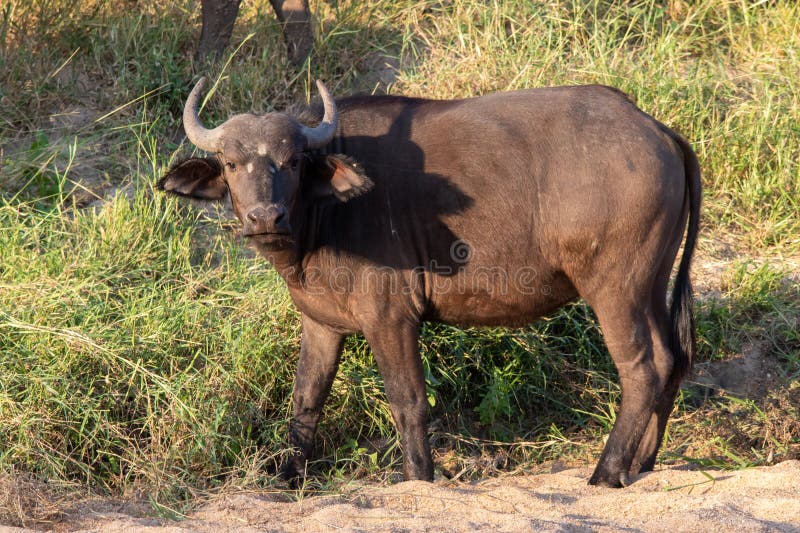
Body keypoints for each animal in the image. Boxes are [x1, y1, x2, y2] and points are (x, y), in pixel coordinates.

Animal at [157, 77, 701, 488]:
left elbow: (408, 401)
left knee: (643, 369)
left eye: (291, 161)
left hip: (615, 289)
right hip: (651, 284)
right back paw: (642, 467)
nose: (264, 217)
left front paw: (418, 476)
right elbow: (306, 400)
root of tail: (655, 129)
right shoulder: (322, 323)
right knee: (672, 360)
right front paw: (288, 476)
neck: (325, 212)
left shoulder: (391, 319)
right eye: (231, 164)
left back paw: (606, 474)